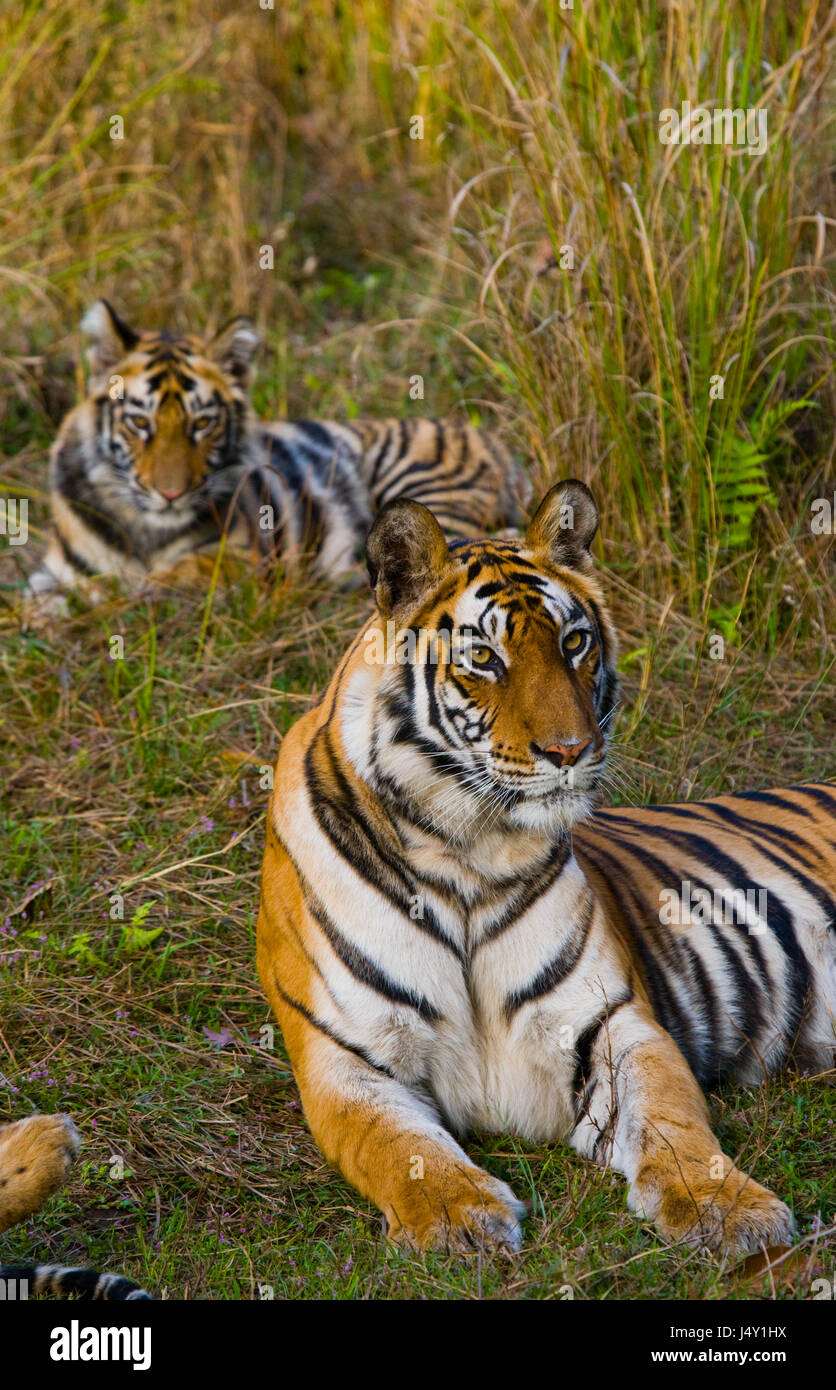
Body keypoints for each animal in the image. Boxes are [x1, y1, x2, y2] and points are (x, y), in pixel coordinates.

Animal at [26, 299, 530, 600]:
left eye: (202, 424)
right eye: (139, 423)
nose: (170, 494)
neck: (143, 528)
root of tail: (495, 441)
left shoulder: (239, 558)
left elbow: (151, 581)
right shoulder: (58, 567)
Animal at [256, 480, 836, 1258]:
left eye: (574, 642)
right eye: (484, 658)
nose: (570, 750)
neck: (465, 848)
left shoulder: (607, 1021)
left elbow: (674, 1122)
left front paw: (730, 1210)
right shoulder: (344, 1056)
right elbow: (395, 1146)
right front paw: (458, 1218)